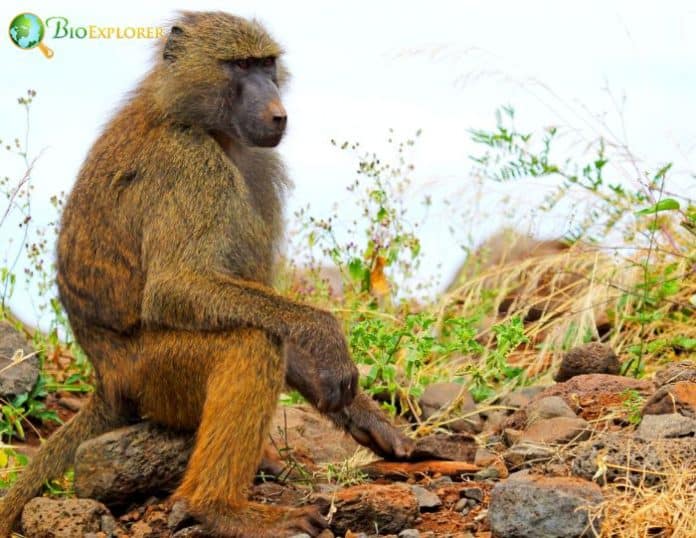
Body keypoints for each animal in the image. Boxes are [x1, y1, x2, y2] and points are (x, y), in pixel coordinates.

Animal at [0, 11, 412, 537]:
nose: (277, 114)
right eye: (239, 65)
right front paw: (323, 333)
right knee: (250, 343)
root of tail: (106, 379)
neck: (199, 121)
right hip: (155, 376)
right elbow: (175, 287)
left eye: (265, 64)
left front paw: (360, 413)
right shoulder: (189, 163)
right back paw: (219, 507)